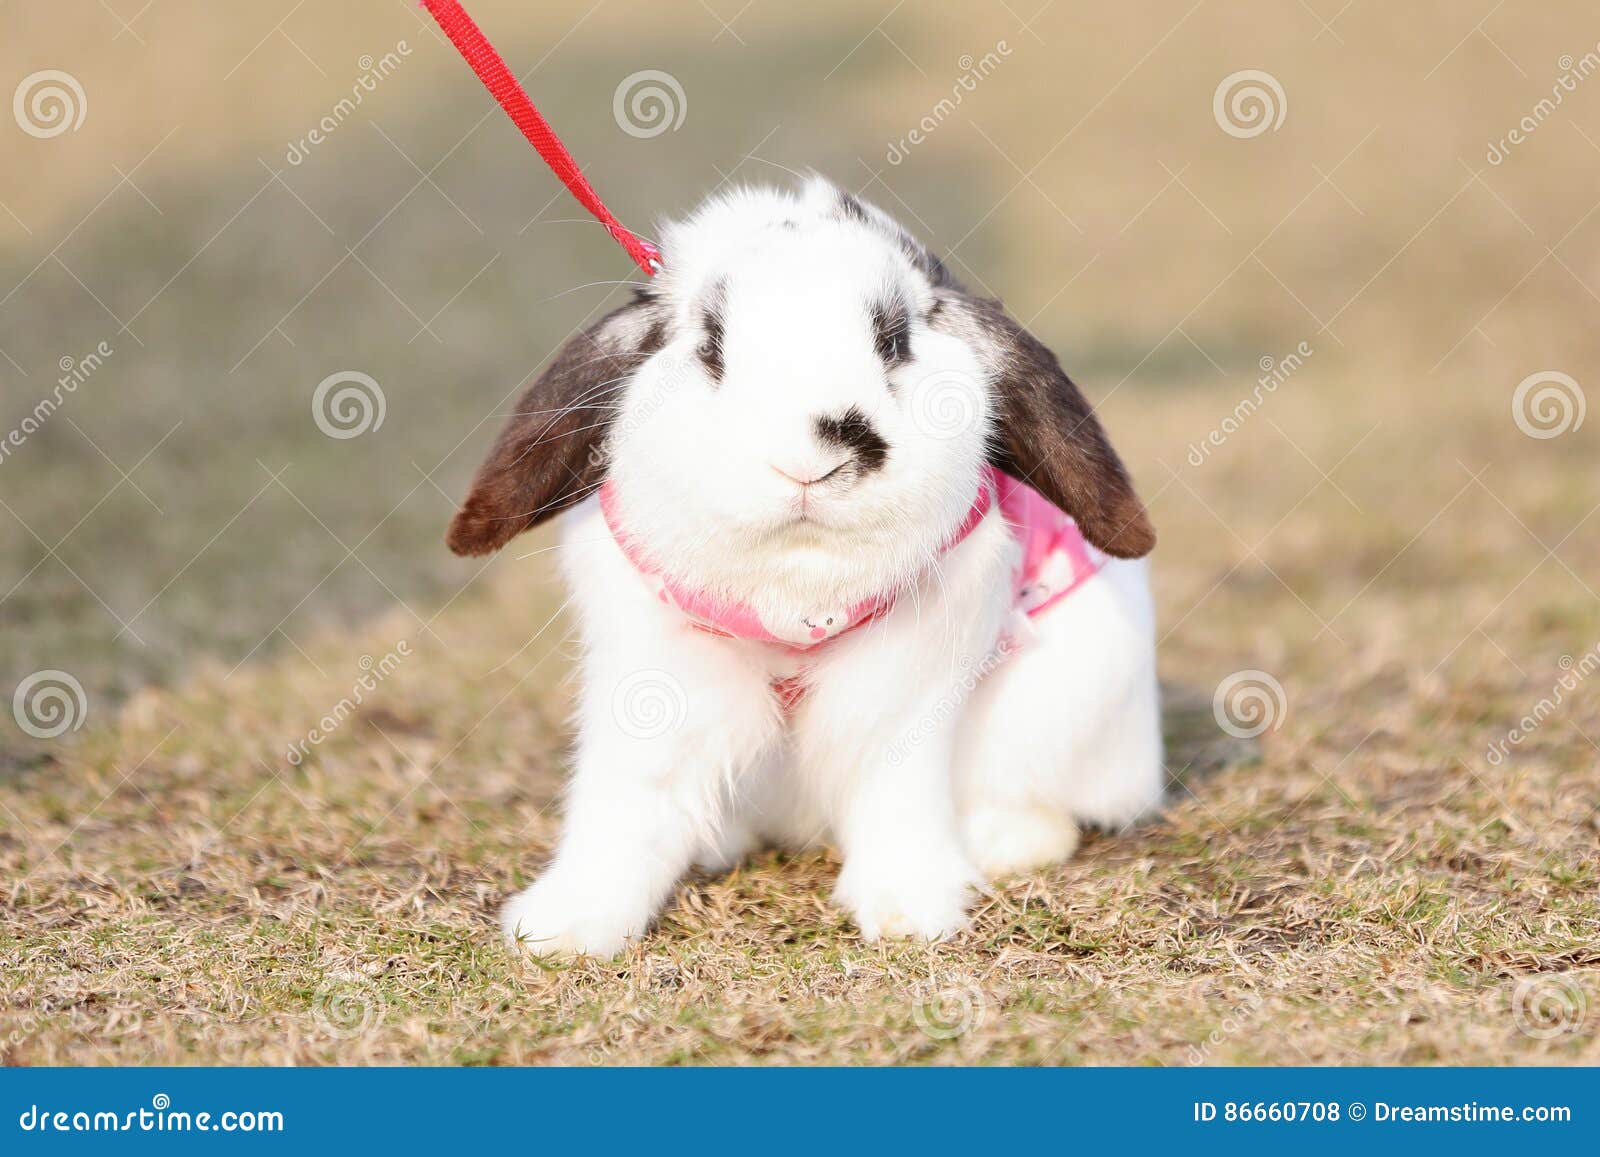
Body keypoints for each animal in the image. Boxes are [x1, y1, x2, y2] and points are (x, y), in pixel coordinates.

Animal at [447, 177, 1162, 957]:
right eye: (711, 346)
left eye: (894, 341)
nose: (809, 461)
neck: (795, 586)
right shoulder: (657, 676)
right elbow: (632, 797)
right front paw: (564, 928)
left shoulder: (906, 684)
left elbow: (894, 791)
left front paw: (910, 914)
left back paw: (1003, 841)